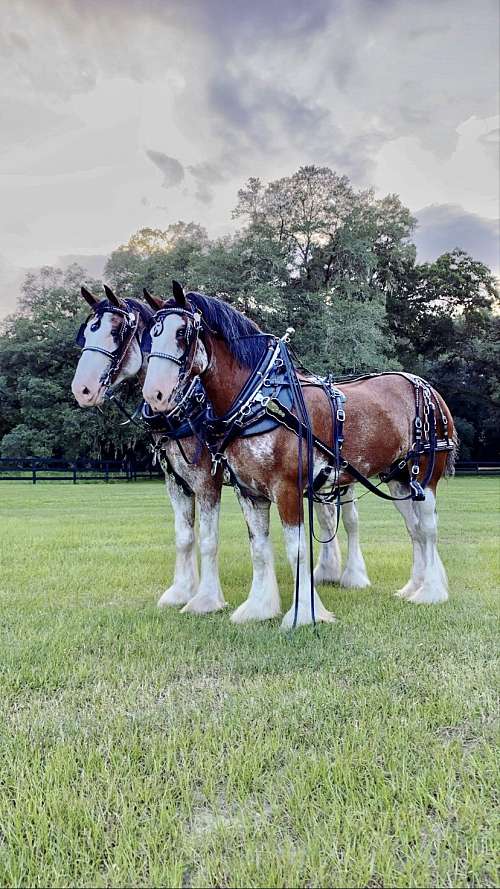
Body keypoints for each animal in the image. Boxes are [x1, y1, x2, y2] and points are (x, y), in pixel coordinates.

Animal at [71, 284, 361, 621]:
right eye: (87, 334)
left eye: (117, 331)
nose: (82, 390)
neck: (189, 405)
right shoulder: (177, 482)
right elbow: (184, 536)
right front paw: (181, 591)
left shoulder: (207, 481)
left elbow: (209, 539)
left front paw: (205, 599)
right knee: (326, 518)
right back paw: (327, 572)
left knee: (349, 520)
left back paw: (352, 576)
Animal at [142, 286, 457, 629]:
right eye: (151, 336)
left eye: (182, 333)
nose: (154, 395)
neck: (258, 400)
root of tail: (429, 390)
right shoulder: (249, 491)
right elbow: (259, 548)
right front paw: (259, 608)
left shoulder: (287, 489)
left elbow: (297, 551)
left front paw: (303, 614)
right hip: (400, 480)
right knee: (415, 530)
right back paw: (414, 587)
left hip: (425, 478)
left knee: (428, 530)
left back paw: (431, 592)